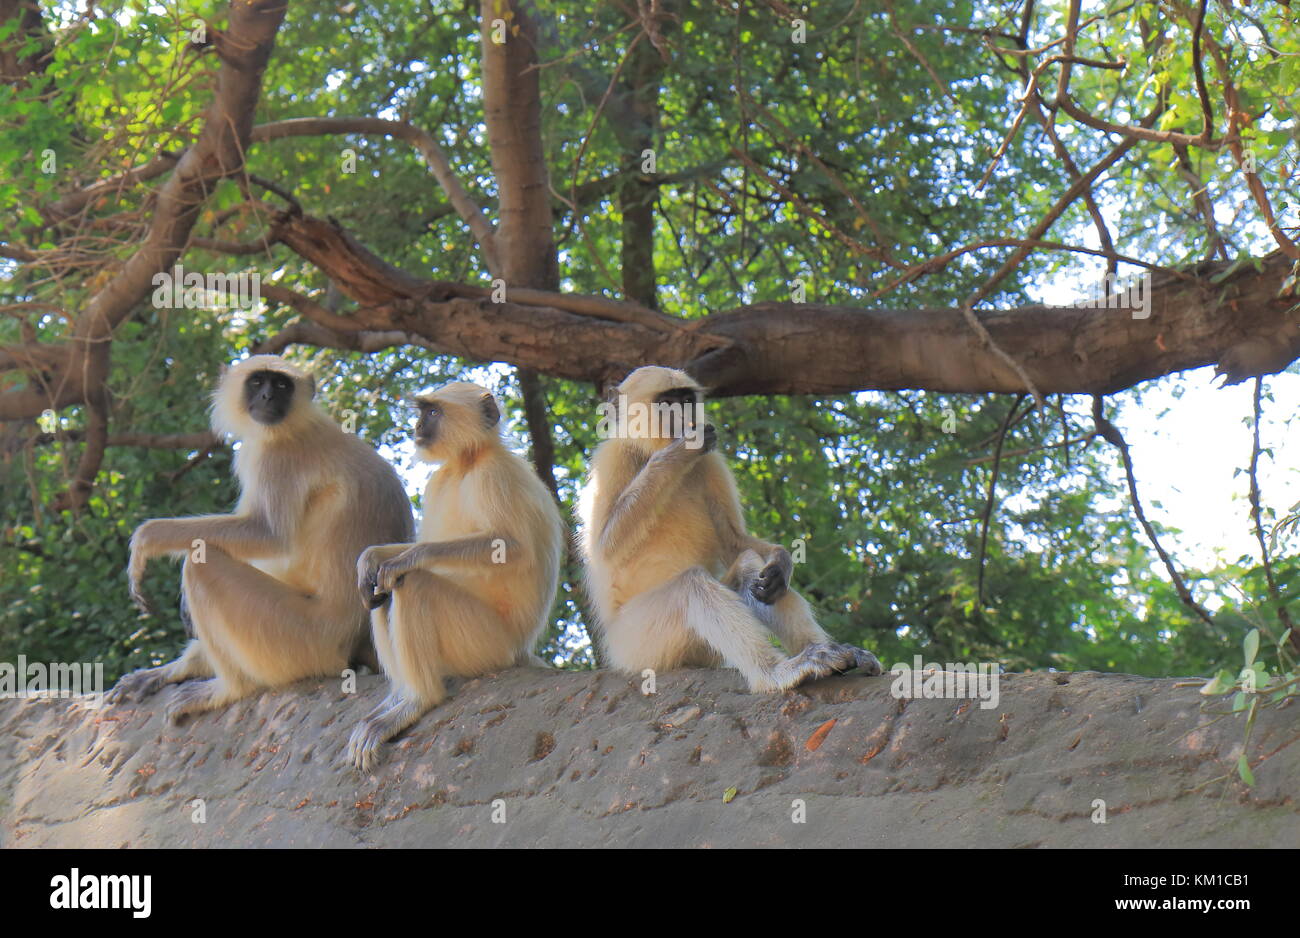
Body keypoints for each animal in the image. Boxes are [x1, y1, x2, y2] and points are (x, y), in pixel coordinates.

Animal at [108, 355, 415, 723]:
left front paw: (146, 539)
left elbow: (268, 536)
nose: (268, 397)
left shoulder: (277, 457)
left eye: (281, 385)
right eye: (257, 382)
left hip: (302, 640)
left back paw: (229, 689)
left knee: (201, 563)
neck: (296, 424)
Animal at [347, 381, 564, 771]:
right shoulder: (439, 482)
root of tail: (519, 651)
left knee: (412, 583)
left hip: (485, 645)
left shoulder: (495, 475)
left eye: (432, 412)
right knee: (378, 594)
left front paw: (408, 558)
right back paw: (396, 699)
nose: (417, 427)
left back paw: (419, 699)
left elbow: (511, 548)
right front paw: (369, 557)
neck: (467, 462)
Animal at [578, 365, 882, 693]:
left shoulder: (710, 462)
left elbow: (733, 542)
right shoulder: (611, 458)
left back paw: (830, 652)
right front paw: (682, 450)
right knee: (692, 586)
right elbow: (604, 549)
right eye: (667, 402)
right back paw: (774, 673)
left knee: (751, 569)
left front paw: (781, 560)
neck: (647, 449)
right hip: (638, 646)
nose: (684, 415)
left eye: (686, 400)